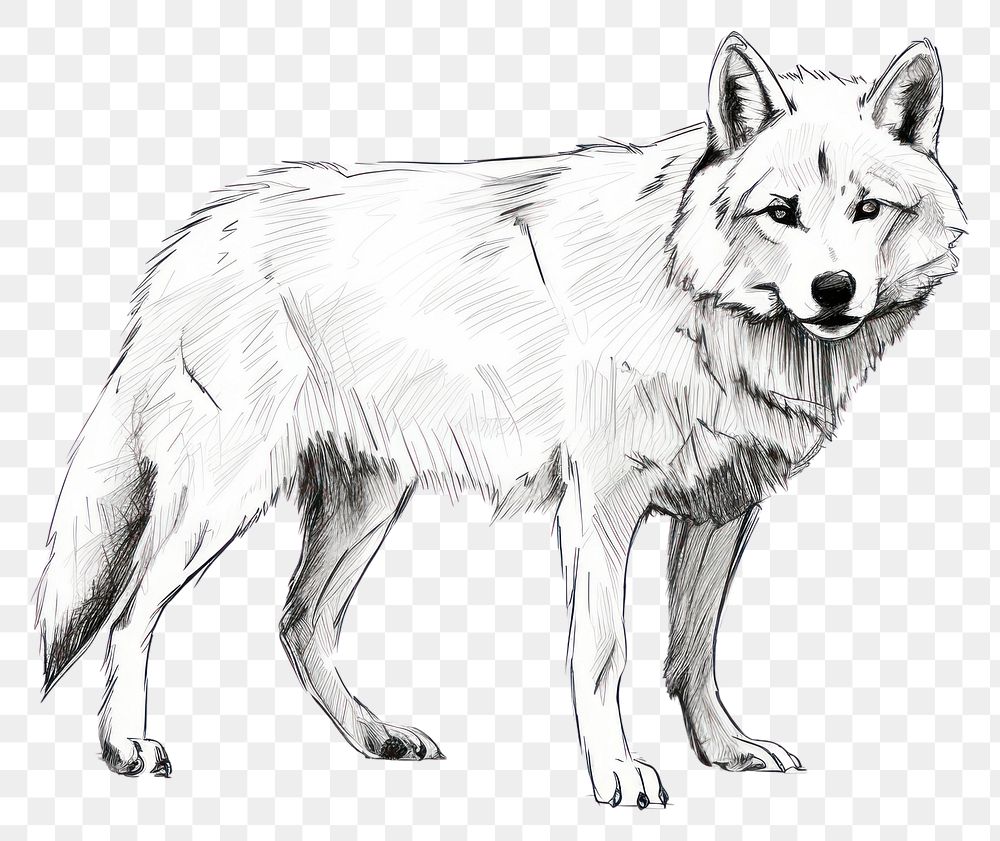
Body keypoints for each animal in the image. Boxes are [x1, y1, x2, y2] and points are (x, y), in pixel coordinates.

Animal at [36, 33, 963, 806]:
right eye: (782, 212)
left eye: (868, 210)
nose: (834, 290)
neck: (695, 297)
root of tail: (199, 234)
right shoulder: (600, 509)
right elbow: (605, 651)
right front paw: (616, 772)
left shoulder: (723, 507)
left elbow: (693, 648)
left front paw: (724, 750)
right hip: (226, 496)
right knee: (132, 613)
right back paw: (124, 747)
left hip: (365, 504)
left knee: (300, 623)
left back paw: (375, 736)